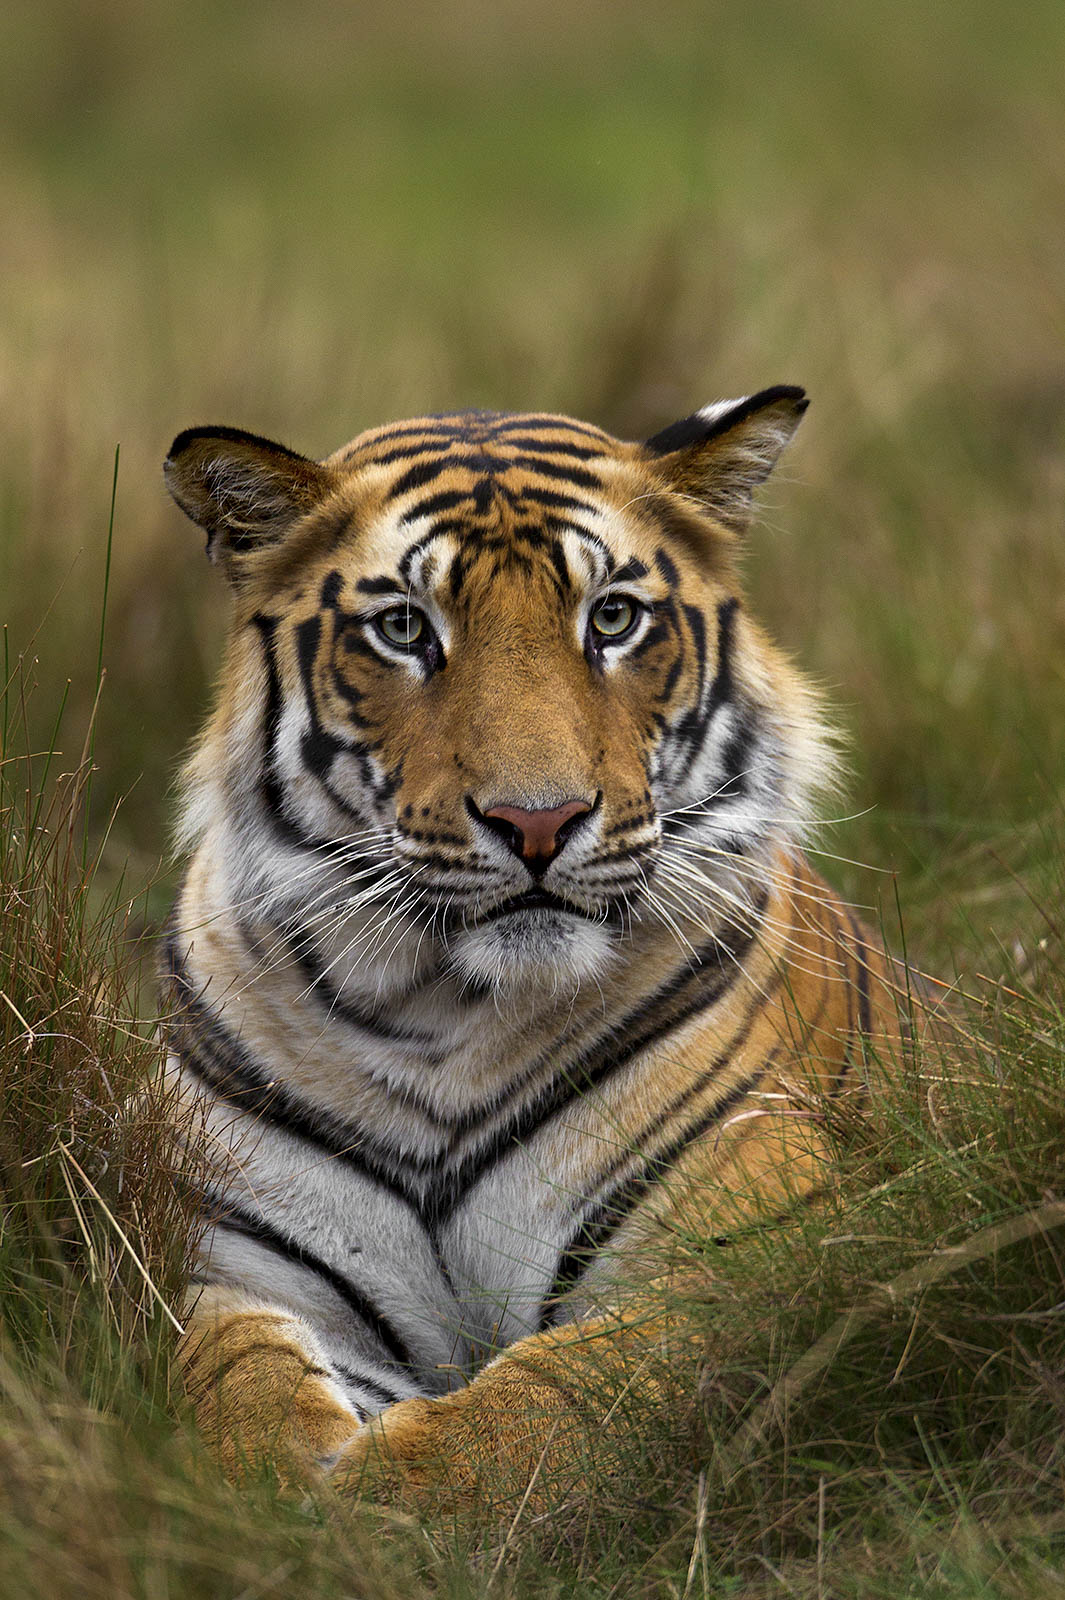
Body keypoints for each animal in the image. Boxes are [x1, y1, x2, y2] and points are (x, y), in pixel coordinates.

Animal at [161, 387, 916, 1515]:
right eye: (403, 627)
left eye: (612, 618)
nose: (538, 821)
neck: (439, 1013)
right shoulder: (235, 1262)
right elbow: (230, 1379)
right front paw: (266, 1495)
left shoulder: (754, 1234)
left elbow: (559, 1390)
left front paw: (381, 1502)